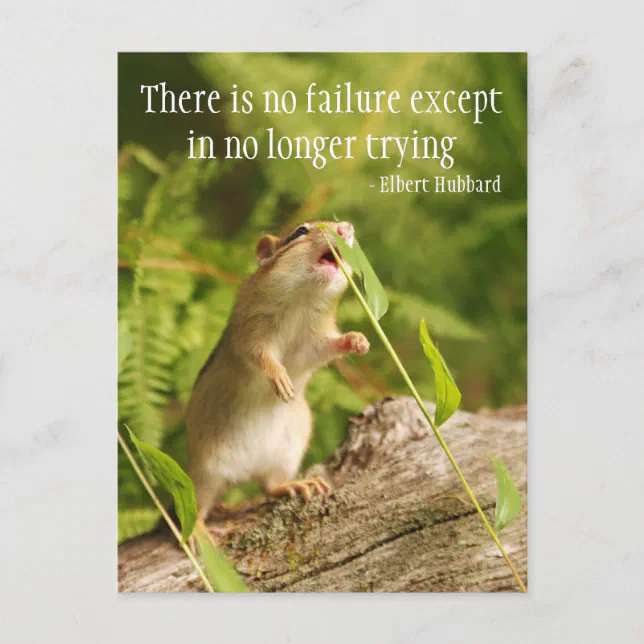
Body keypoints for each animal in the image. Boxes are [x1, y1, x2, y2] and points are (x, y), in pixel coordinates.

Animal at [185, 220, 370, 525]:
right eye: (300, 231)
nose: (346, 228)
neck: (303, 300)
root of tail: (241, 475)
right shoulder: (250, 332)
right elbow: (259, 355)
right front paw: (280, 379)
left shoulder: (310, 344)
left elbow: (324, 349)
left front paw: (357, 341)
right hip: (205, 471)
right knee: (195, 510)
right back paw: (199, 531)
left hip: (286, 455)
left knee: (269, 485)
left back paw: (298, 484)